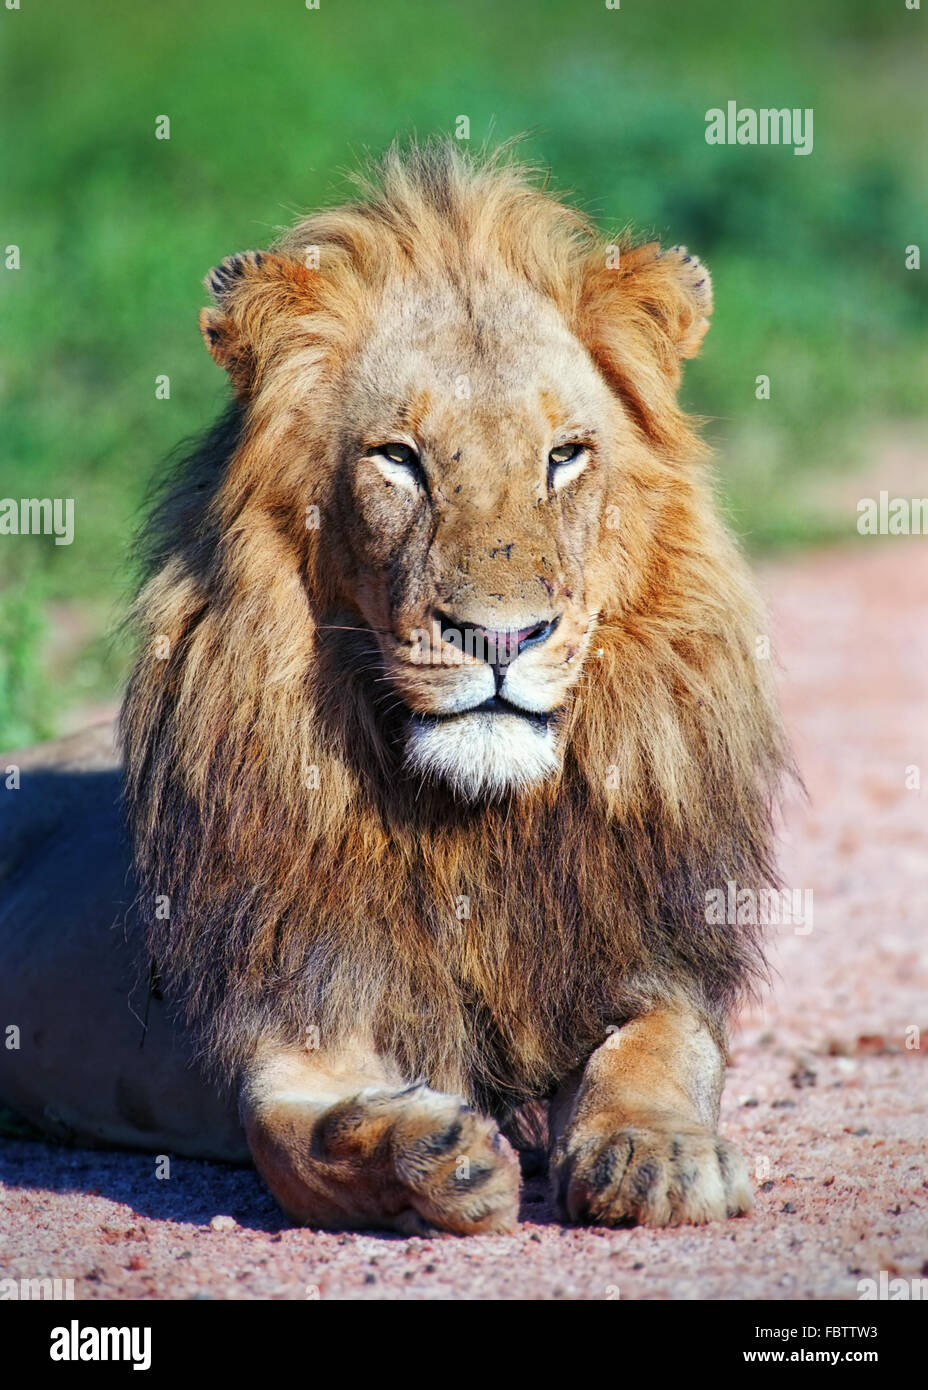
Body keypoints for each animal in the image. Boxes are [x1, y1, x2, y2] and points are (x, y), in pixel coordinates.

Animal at [0, 143, 788, 1234]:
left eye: (564, 457)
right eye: (399, 460)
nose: (500, 636)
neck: (471, 826)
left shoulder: (647, 958)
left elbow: (662, 1048)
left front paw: (655, 1153)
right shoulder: (293, 1005)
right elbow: (290, 1139)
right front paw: (424, 1157)